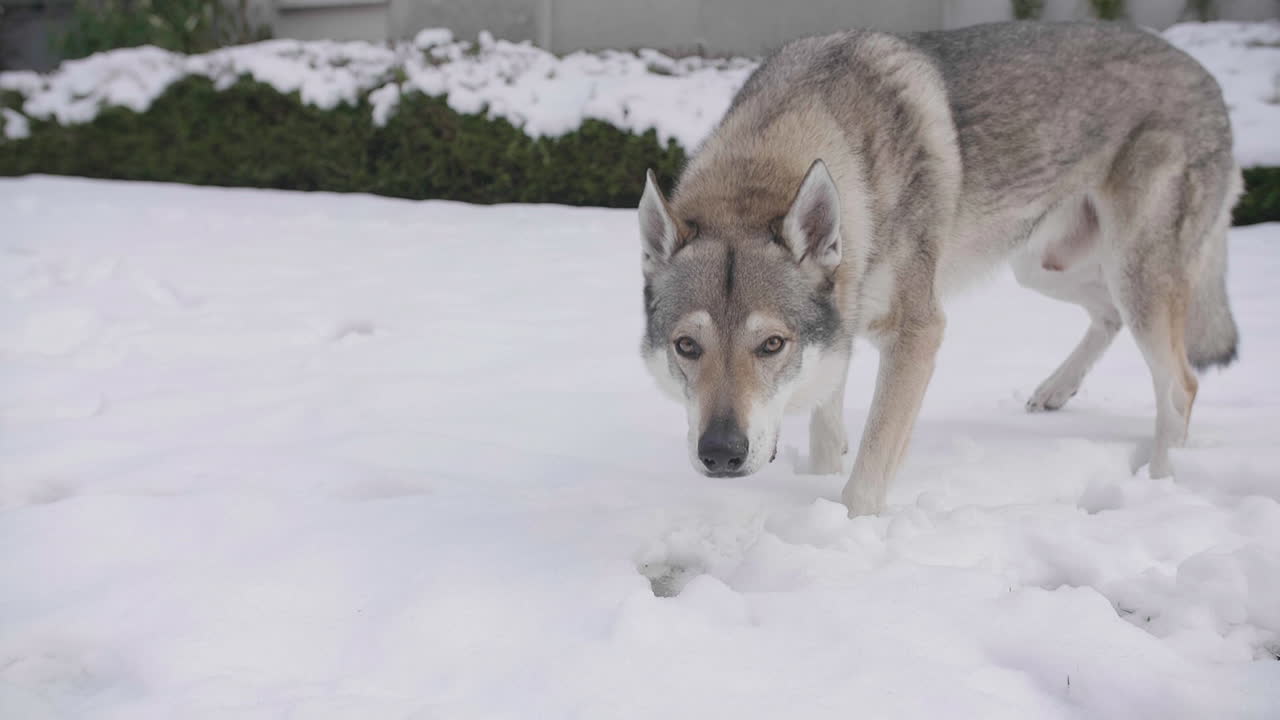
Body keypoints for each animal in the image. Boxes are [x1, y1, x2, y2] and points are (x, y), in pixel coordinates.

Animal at [637, 21, 1240, 516]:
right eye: (686, 346)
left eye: (771, 345)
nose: (720, 453)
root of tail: (1207, 74)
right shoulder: (843, 325)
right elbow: (828, 435)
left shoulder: (918, 331)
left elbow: (867, 473)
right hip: (1044, 267)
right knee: (1108, 317)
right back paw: (1055, 390)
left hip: (1133, 276)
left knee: (1181, 385)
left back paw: (1159, 486)